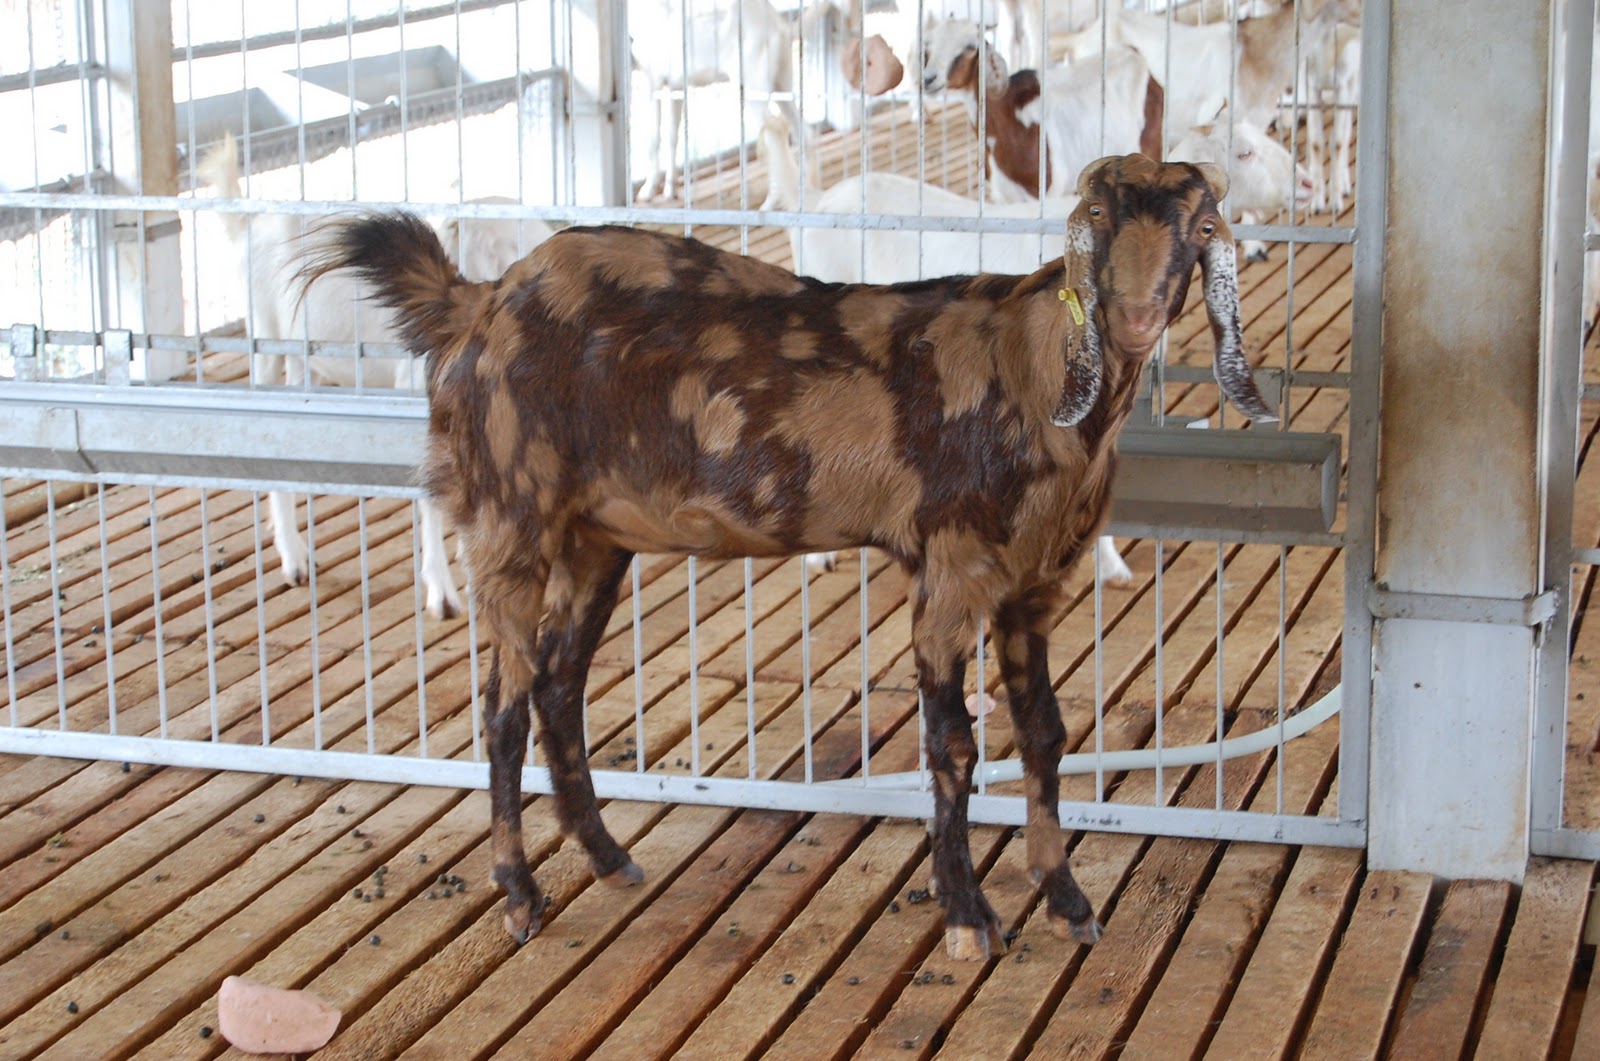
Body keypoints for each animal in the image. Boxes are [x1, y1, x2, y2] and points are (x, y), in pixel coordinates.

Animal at [303, 153, 1275, 961]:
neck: (1031, 370)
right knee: (503, 705)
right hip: (512, 513)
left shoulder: (1034, 584)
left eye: (1199, 227)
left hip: (595, 535)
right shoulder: (951, 569)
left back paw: (609, 856)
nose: (1137, 317)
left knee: (556, 684)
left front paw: (1067, 898)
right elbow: (955, 744)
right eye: (1098, 217)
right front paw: (966, 913)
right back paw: (518, 893)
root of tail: (478, 301)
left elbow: (1045, 735)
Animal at [630, 0, 801, 206]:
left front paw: (647, 191)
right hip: (782, 81)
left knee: (775, 134)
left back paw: (772, 202)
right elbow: (672, 136)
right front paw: (670, 190)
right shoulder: (675, 85)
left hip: (754, 87)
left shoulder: (651, 79)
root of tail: (779, 28)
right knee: (802, 131)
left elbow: (654, 138)